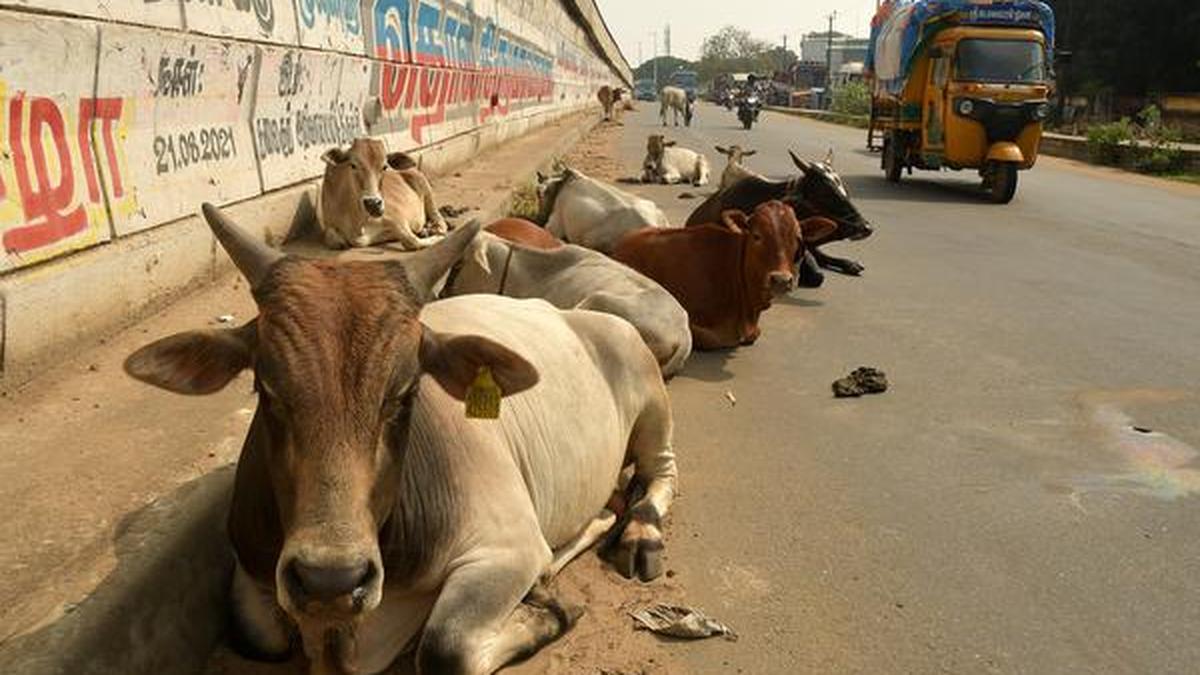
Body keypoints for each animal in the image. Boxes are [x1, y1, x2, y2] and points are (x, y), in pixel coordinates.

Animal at [318, 138, 448, 251]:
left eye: (384, 167)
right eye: (353, 165)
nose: (373, 204)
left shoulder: (397, 218)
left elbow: (412, 241)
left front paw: (437, 237)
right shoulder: (329, 226)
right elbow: (333, 239)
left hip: (423, 182)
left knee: (438, 216)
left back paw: (435, 228)